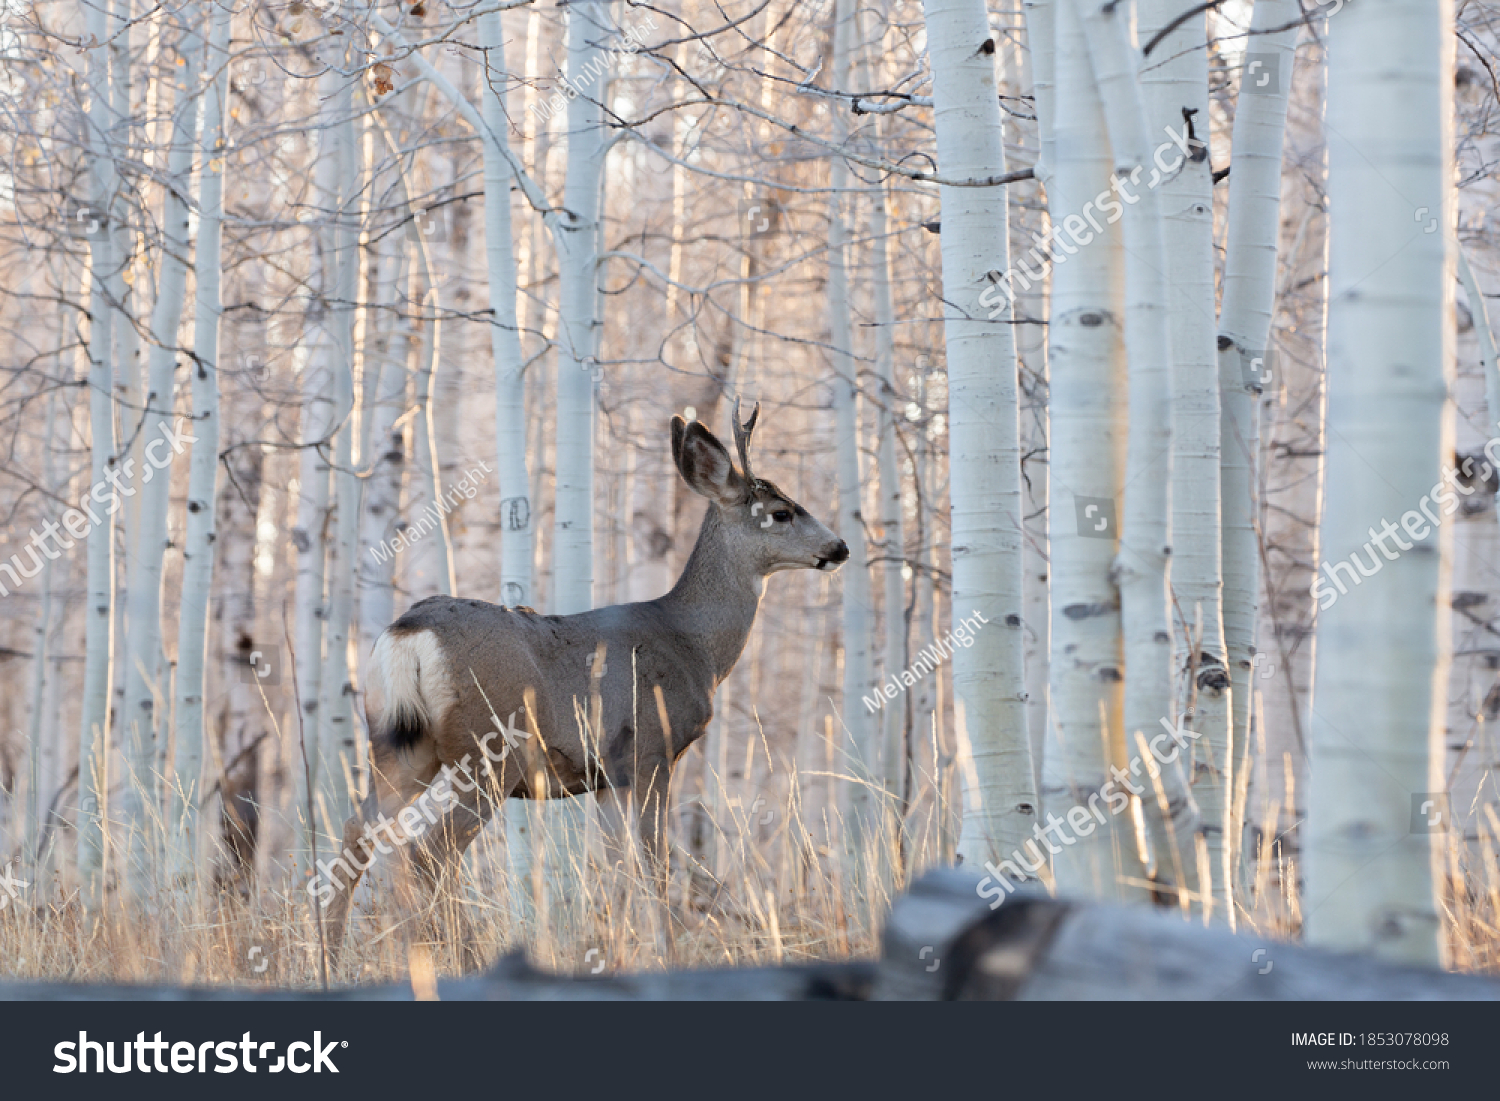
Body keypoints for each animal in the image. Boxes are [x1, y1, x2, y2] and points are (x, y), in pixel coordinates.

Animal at [320, 401, 849, 963]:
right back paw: (466, 956)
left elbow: (619, 870)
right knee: (432, 852)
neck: (694, 644)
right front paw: (666, 953)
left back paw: (332, 956)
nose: (840, 547)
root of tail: (407, 631)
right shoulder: (651, 750)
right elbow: (656, 867)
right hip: (490, 750)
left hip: (400, 743)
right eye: (781, 512)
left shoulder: (607, 775)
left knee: (357, 833)